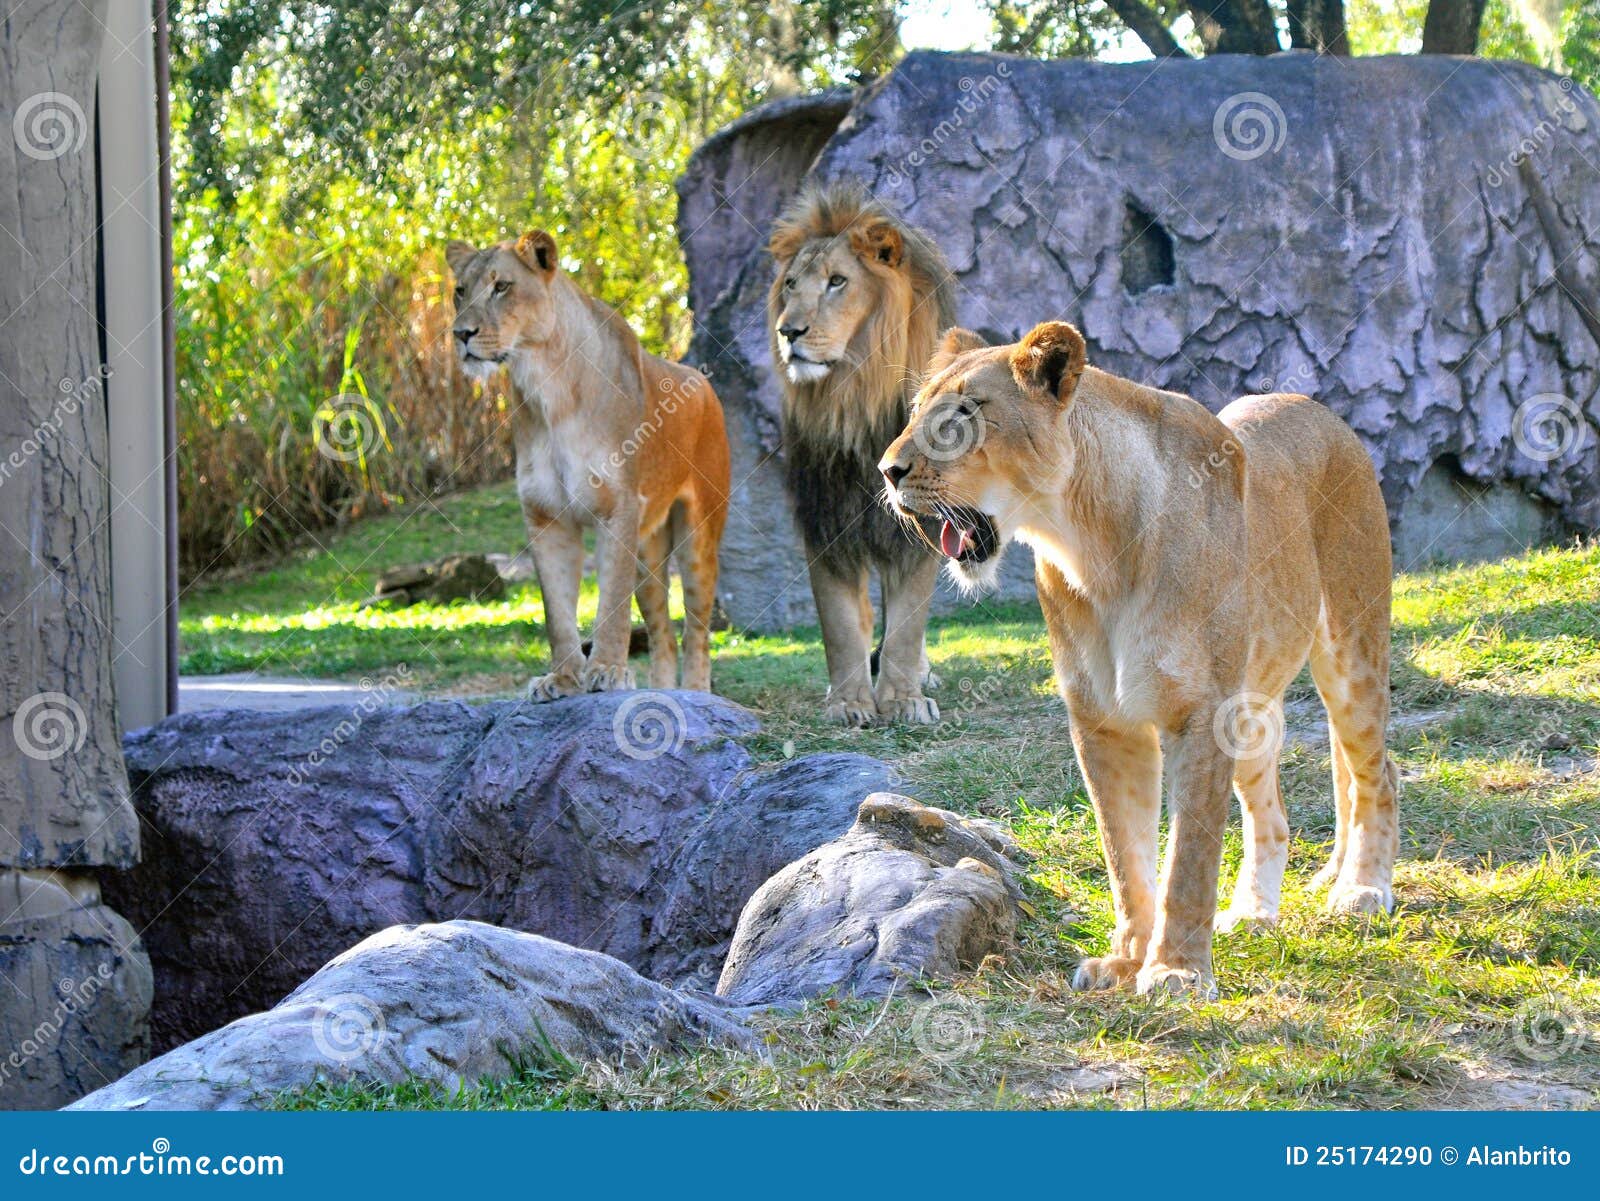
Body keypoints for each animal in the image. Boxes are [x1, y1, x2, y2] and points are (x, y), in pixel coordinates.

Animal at [447, 230, 729, 697]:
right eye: (460, 291)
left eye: (501, 286)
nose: (460, 333)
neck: (545, 386)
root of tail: (703, 382)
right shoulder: (545, 517)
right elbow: (557, 611)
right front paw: (561, 678)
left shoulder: (619, 509)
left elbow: (611, 604)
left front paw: (609, 672)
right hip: (648, 550)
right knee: (663, 634)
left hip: (698, 535)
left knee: (697, 631)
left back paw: (693, 694)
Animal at [768, 182, 956, 726]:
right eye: (791, 285)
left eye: (837, 282)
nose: (788, 332)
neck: (852, 399)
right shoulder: (824, 518)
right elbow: (840, 624)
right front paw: (849, 703)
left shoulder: (921, 524)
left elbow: (908, 625)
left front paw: (904, 700)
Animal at [880, 321, 1399, 997]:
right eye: (916, 410)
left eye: (964, 415)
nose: (887, 471)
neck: (1089, 543)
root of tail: (1323, 411)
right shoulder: (1104, 721)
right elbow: (1124, 853)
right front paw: (1126, 959)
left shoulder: (1202, 715)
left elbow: (1189, 858)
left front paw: (1177, 970)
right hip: (1253, 710)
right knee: (1273, 815)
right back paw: (1253, 913)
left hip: (1351, 653)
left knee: (1376, 774)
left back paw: (1363, 891)